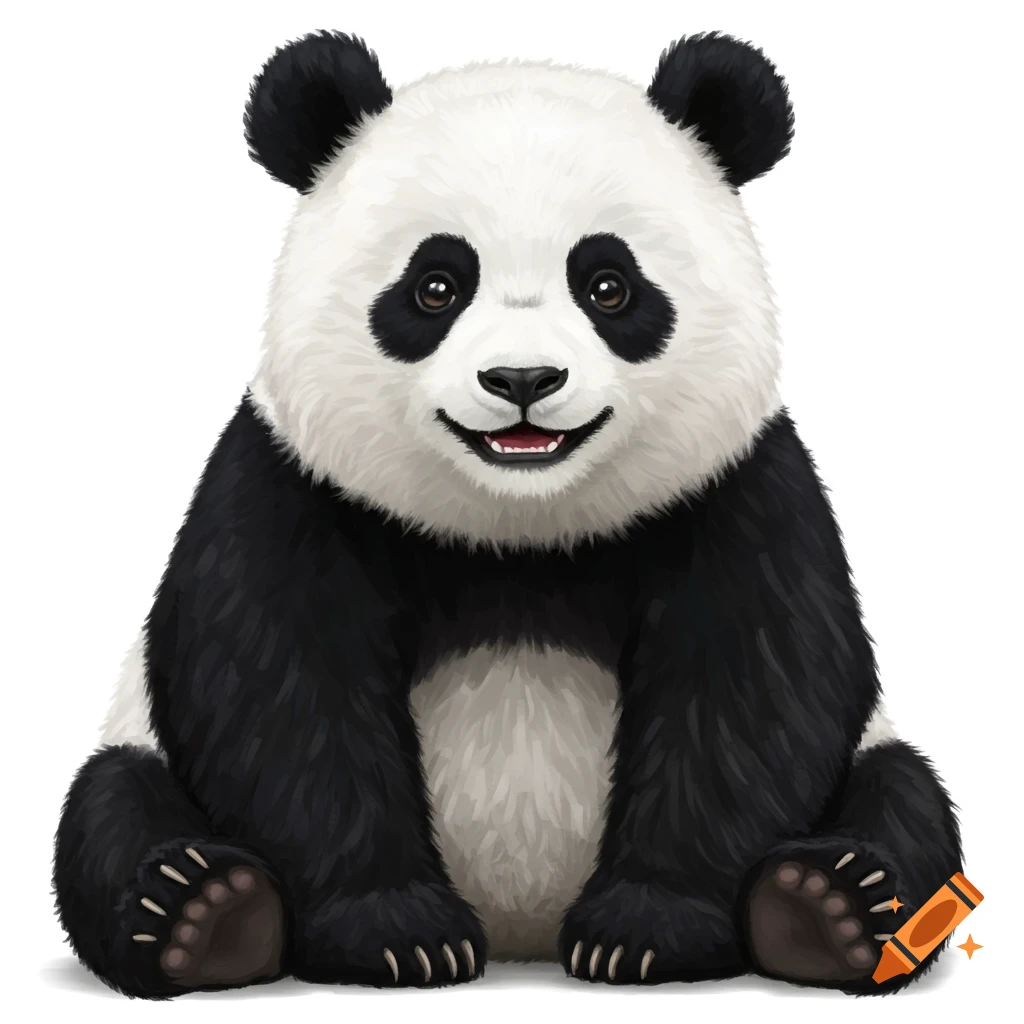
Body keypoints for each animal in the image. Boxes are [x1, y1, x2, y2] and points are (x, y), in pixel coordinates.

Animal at [54, 30, 962, 998]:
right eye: (435, 286)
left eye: (608, 285)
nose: (523, 380)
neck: (519, 530)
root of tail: (521, 927)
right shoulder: (294, 486)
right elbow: (283, 691)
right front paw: (396, 933)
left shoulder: (733, 489)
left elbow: (747, 690)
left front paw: (647, 931)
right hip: (137, 754)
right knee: (110, 807)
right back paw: (203, 912)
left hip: (878, 768)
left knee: (906, 799)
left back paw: (829, 908)